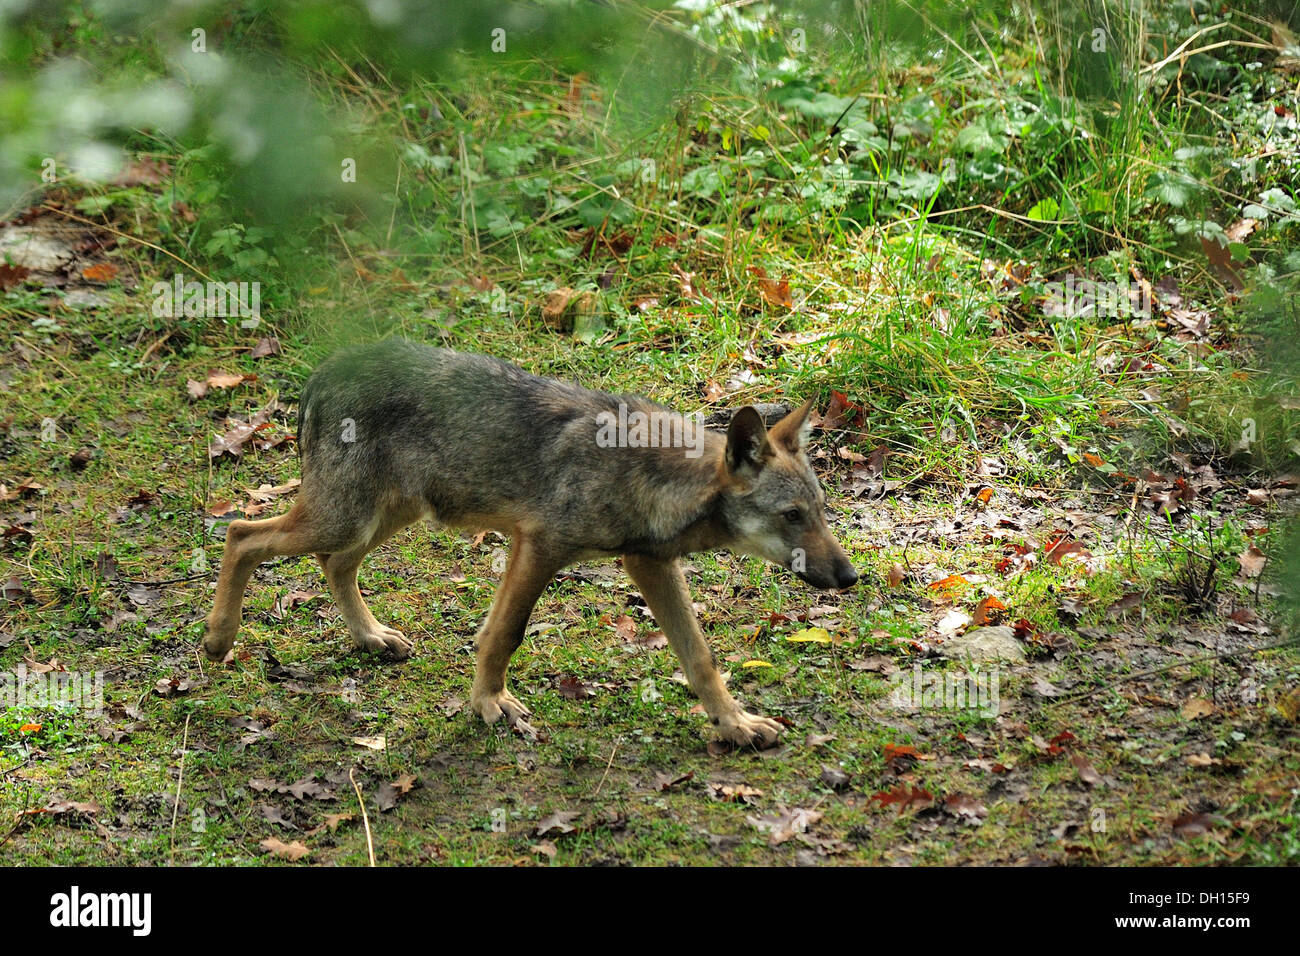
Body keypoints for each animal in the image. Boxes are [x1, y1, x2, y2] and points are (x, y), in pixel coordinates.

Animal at [203, 339, 858, 747]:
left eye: (821, 513)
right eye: (792, 516)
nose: (851, 577)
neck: (650, 472)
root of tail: (326, 366)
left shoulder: (648, 563)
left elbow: (701, 658)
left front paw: (736, 724)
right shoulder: (538, 547)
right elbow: (504, 634)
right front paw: (489, 705)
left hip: (382, 519)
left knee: (332, 565)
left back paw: (371, 638)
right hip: (346, 519)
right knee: (241, 534)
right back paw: (218, 640)